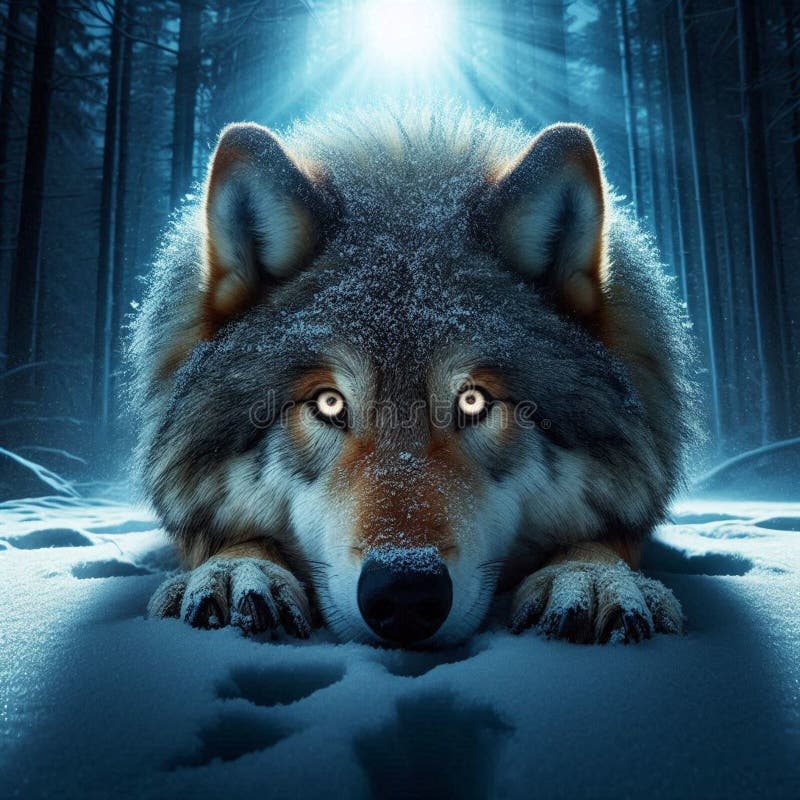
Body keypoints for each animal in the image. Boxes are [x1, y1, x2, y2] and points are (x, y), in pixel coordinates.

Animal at [131, 106, 696, 647]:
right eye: (329, 404)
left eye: (473, 401)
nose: (404, 594)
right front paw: (236, 568)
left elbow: (603, 538)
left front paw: (589, 575)